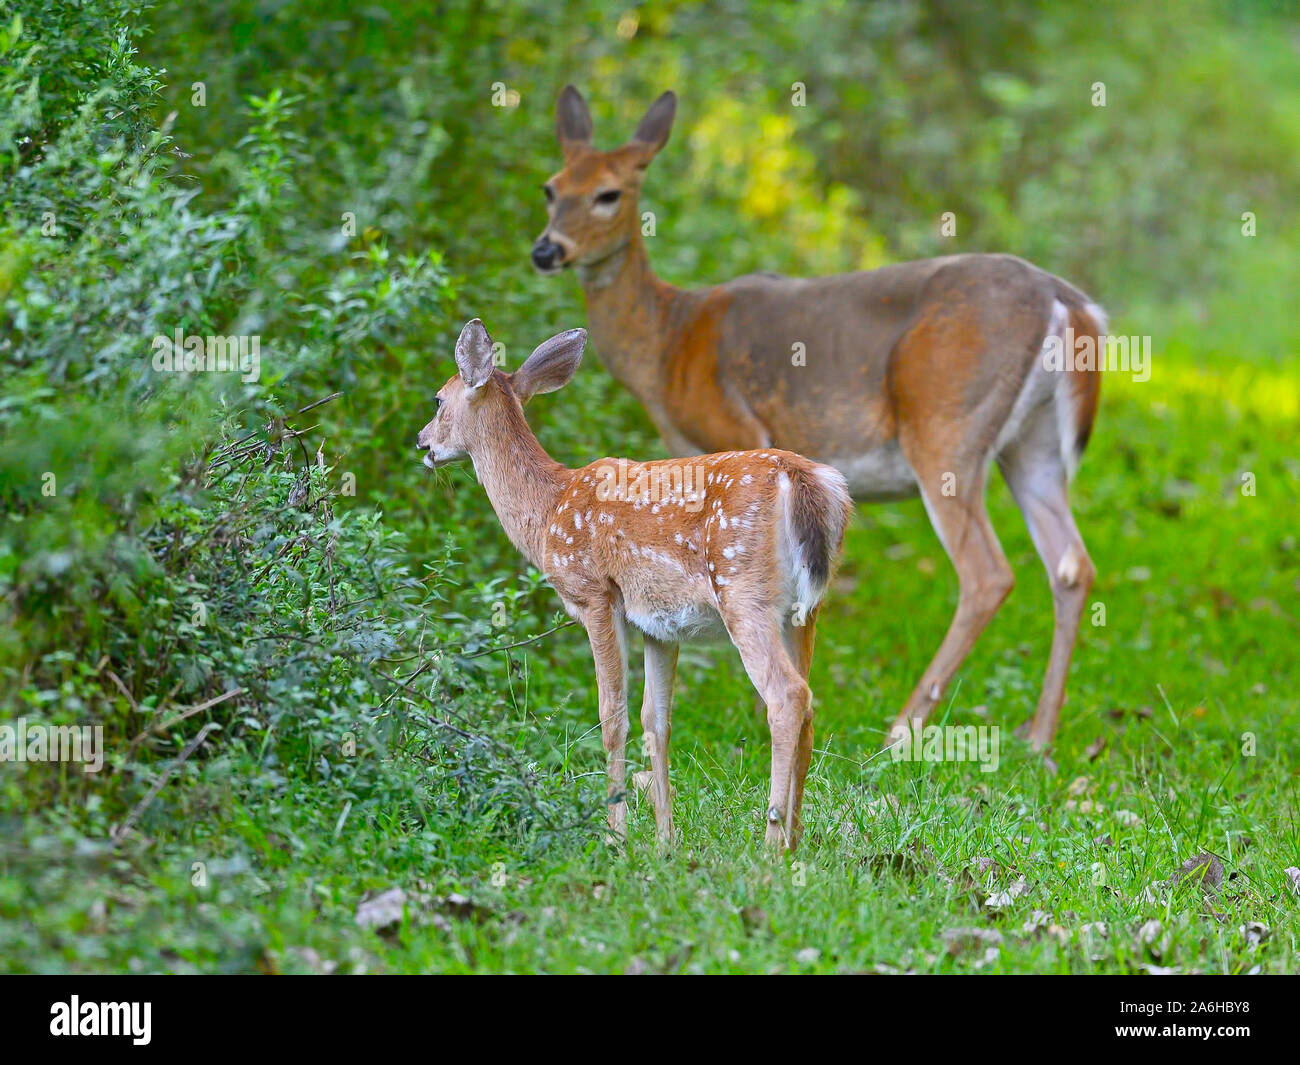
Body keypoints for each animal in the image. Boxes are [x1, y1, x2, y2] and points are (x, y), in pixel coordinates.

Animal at [417, 319, 851, 851]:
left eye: (438, 399)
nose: (422, 443)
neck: (549, 510)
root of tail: (809, 482)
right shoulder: (659, 625)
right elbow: (655, 721)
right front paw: (665, 841)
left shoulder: (594, 594)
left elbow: (613, 716)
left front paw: (614, 836)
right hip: (805, 609)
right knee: (808, 704)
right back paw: (793, 841)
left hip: (743, 590)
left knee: (787, 697)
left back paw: (770, 846)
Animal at [531, 85, 1108, 753]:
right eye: (551, 188)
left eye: (610, 193)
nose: (546, 250)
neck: (667, 342)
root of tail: (1067, 300)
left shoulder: (732, 435)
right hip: (1031, 445)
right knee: (1071, 564)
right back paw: (1037, 739)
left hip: (944, 426)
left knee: (988, 573)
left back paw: (903, 730)